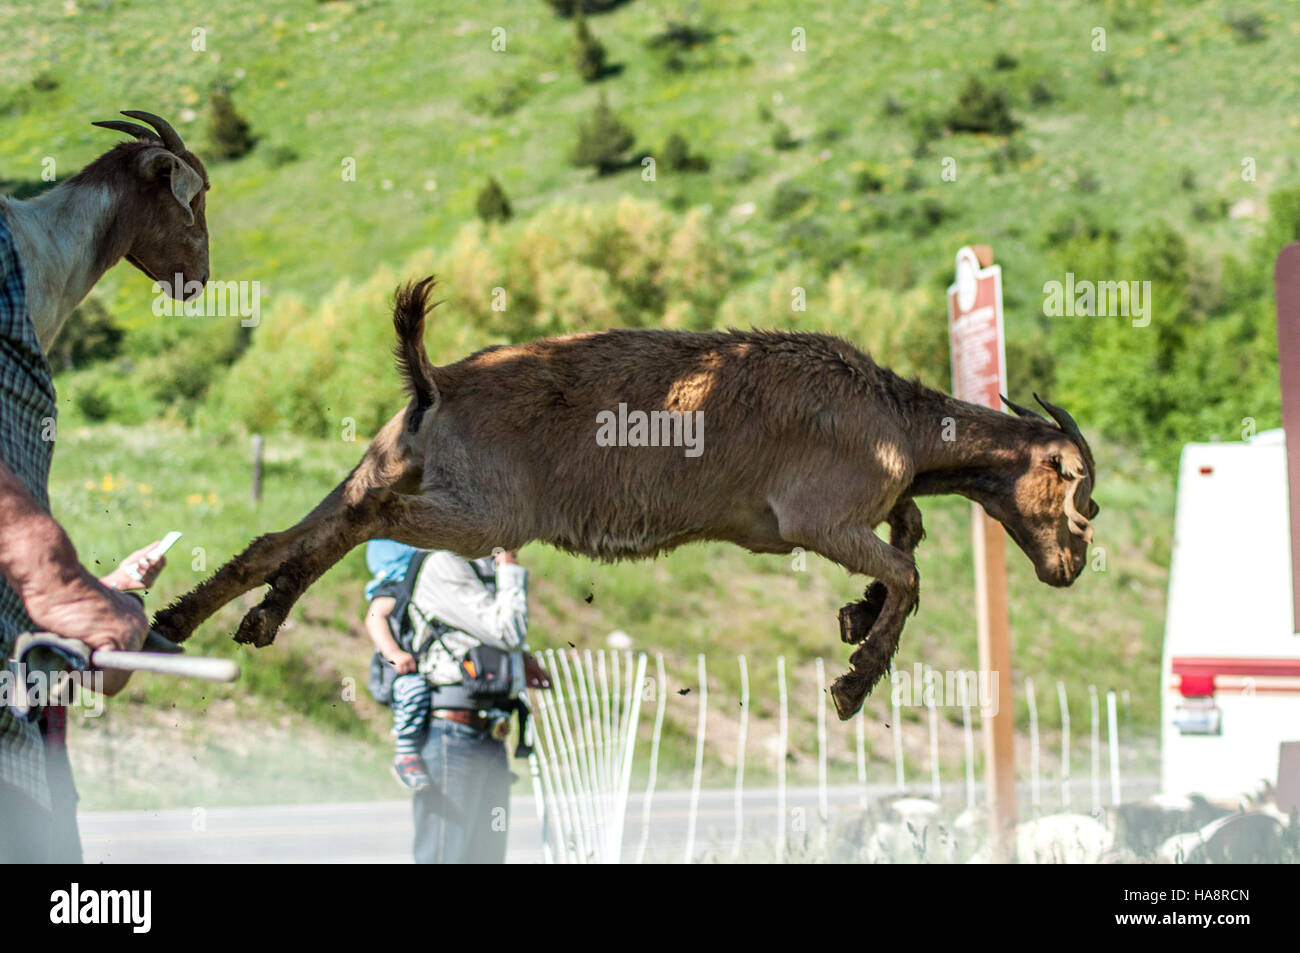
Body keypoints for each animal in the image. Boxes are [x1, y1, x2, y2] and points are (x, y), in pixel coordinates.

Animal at [153, 277, 1100, 720]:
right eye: (1080, 496)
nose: (1073, 566)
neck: (896, 418)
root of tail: (434, 381)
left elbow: (909, 533)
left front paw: (854, 614)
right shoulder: (817, 517)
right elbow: (909, 571)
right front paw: (856, 676)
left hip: (392, 459)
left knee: (286, 531)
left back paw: (189, 616)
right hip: (485, 510)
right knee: (364, 524)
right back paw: (264, 610)